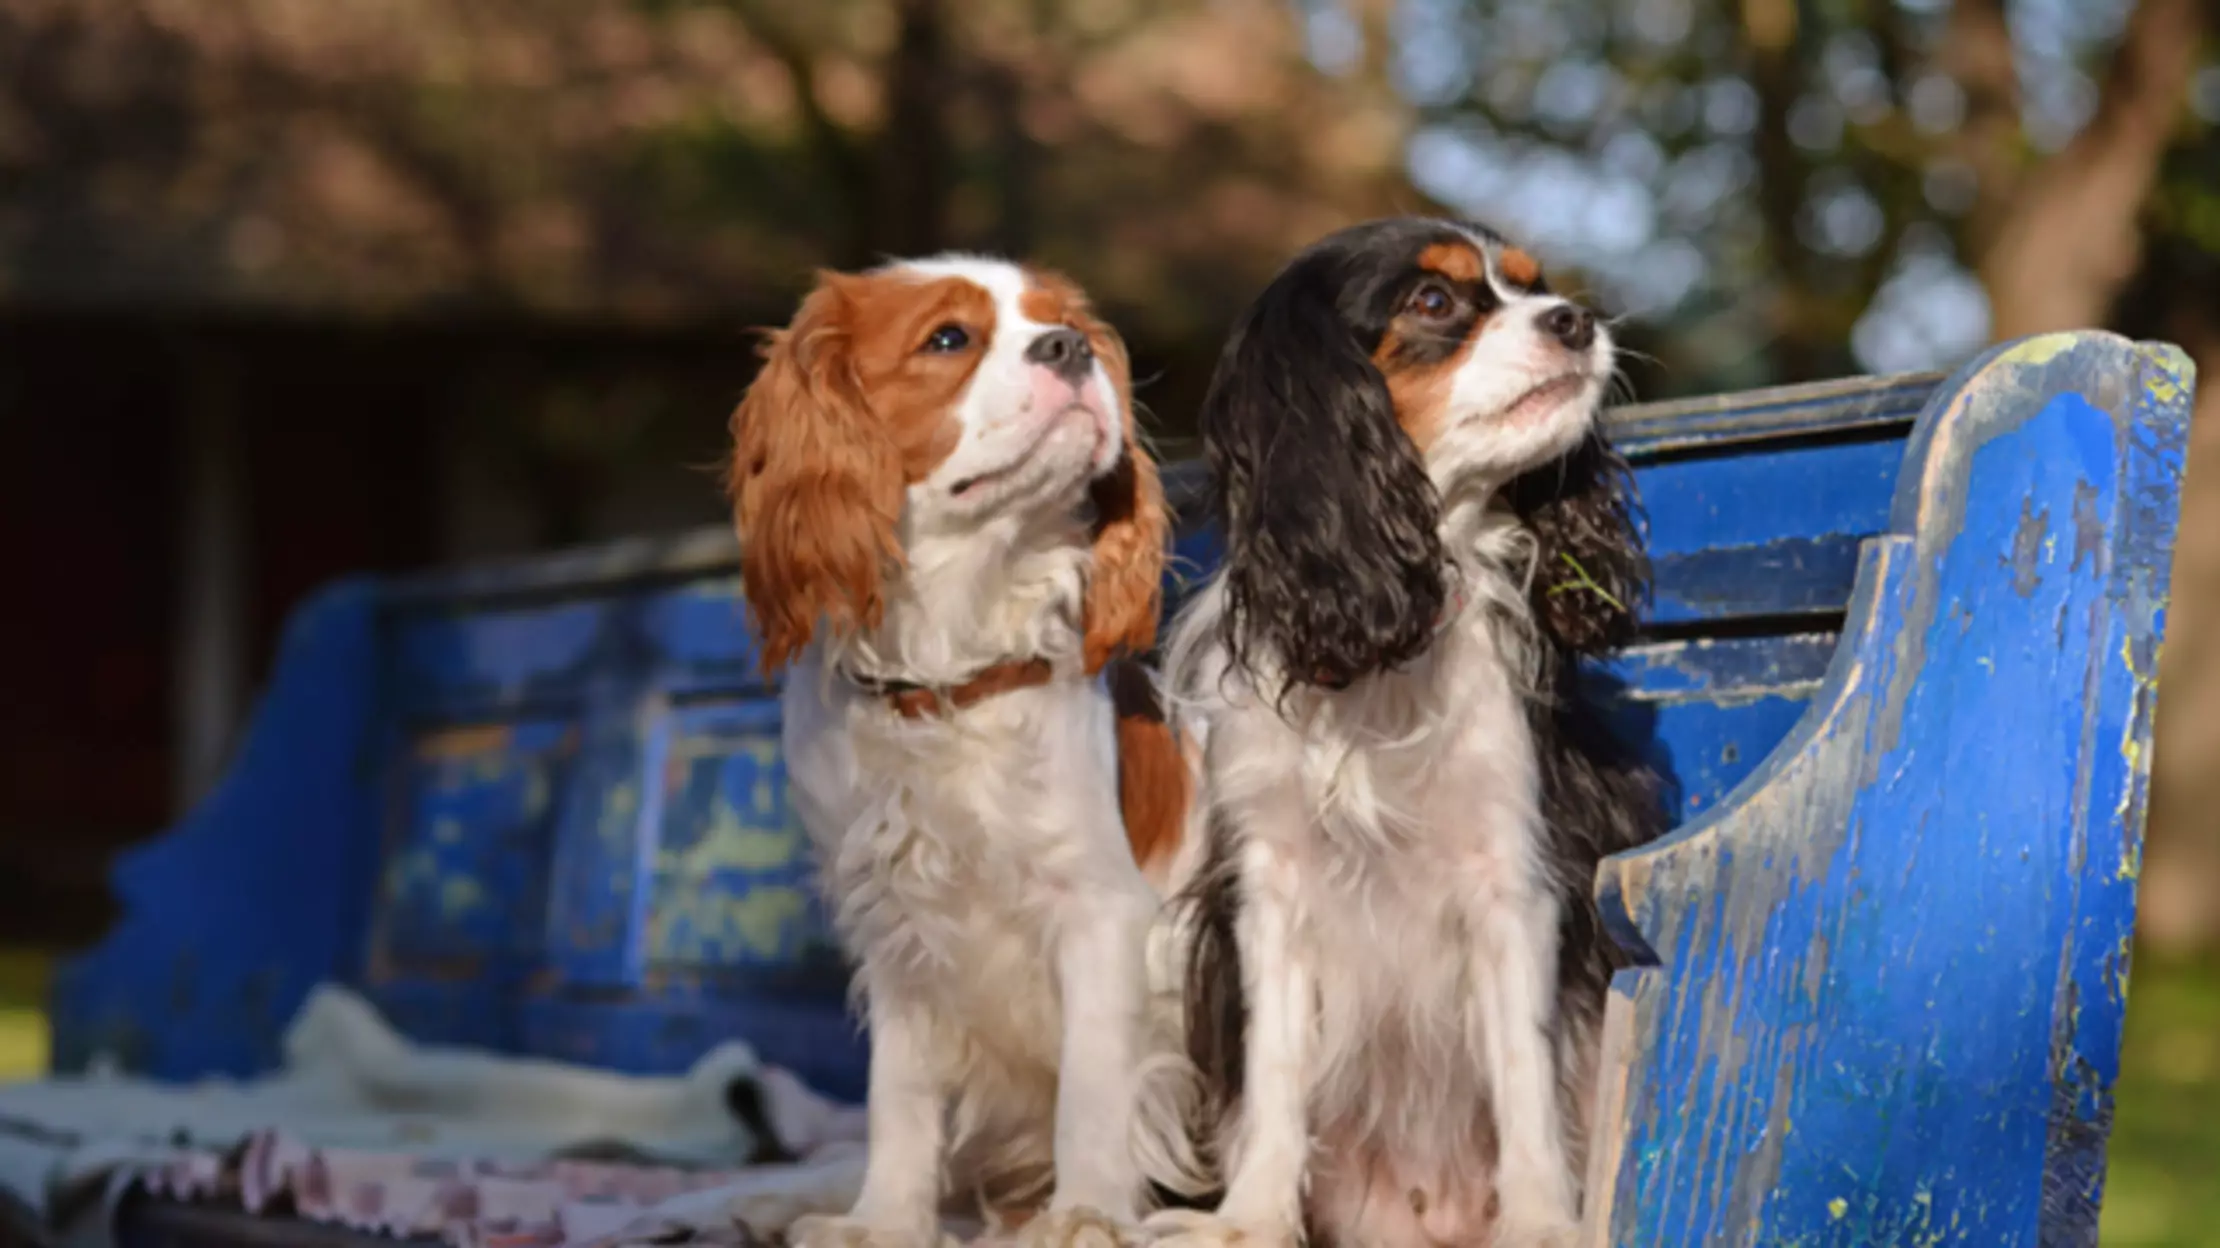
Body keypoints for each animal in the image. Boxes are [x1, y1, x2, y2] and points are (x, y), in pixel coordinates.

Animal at [723, 255, 1216, 1243]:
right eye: (948, 338)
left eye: (1069, 325)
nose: (1066, 349)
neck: (948, 675)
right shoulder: (898, 929)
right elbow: (900, 1100)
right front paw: (882, 1220)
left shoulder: (1100, 913)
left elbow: (1093, 1088)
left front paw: (1086, 1214)